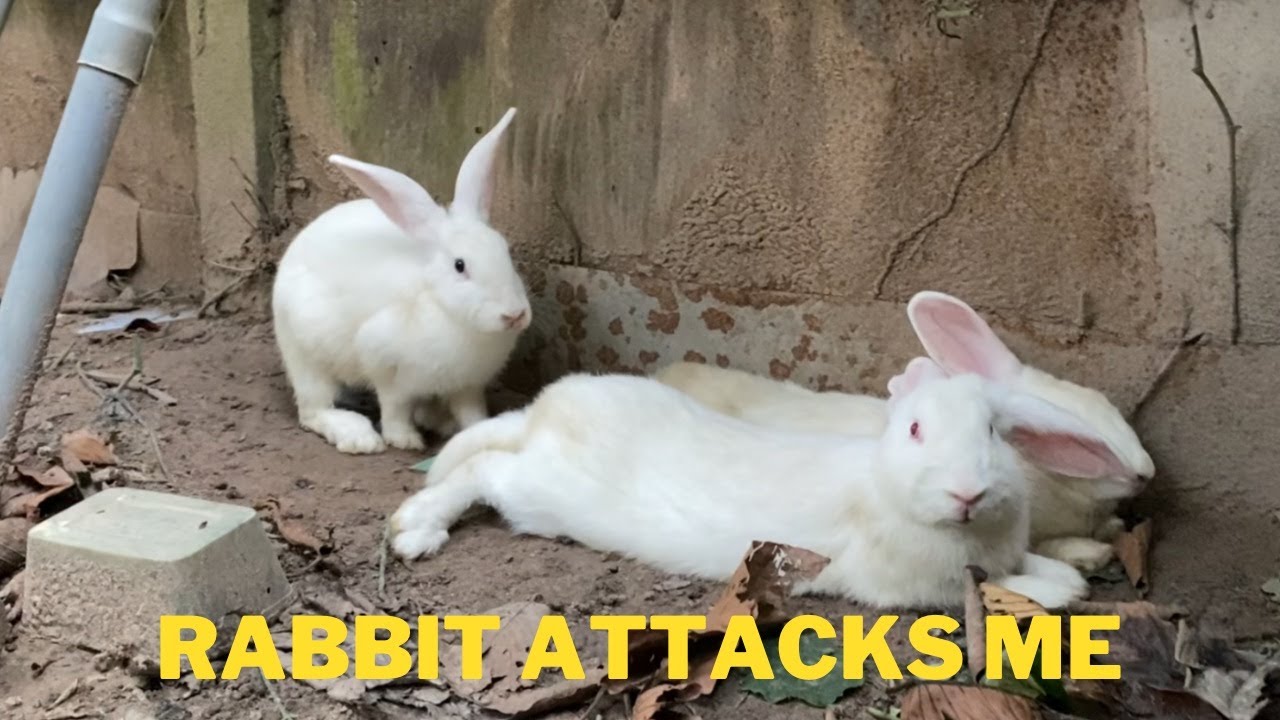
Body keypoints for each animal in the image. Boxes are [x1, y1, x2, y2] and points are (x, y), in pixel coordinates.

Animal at [271, 108, 532, 455]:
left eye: (506, 252)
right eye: (460, 266)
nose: (514, 315)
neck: (446, 310)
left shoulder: (469, 385)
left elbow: (471, 412)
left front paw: (477, 430)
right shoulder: (387, 368)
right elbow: (395, 408)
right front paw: (404, 440)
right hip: (306, 357)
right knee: (314, 410)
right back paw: (358, 436)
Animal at [388, 356, 1136, 610]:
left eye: (995, 432)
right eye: (917, 430)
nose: (967, 493)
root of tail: (548, 409)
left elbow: (1048, 573)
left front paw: (1074, 570)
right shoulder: (922, 588)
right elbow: (1026, 591)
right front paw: (1058, 589)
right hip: (540, 493)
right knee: (481, 472)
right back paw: (414, 530)